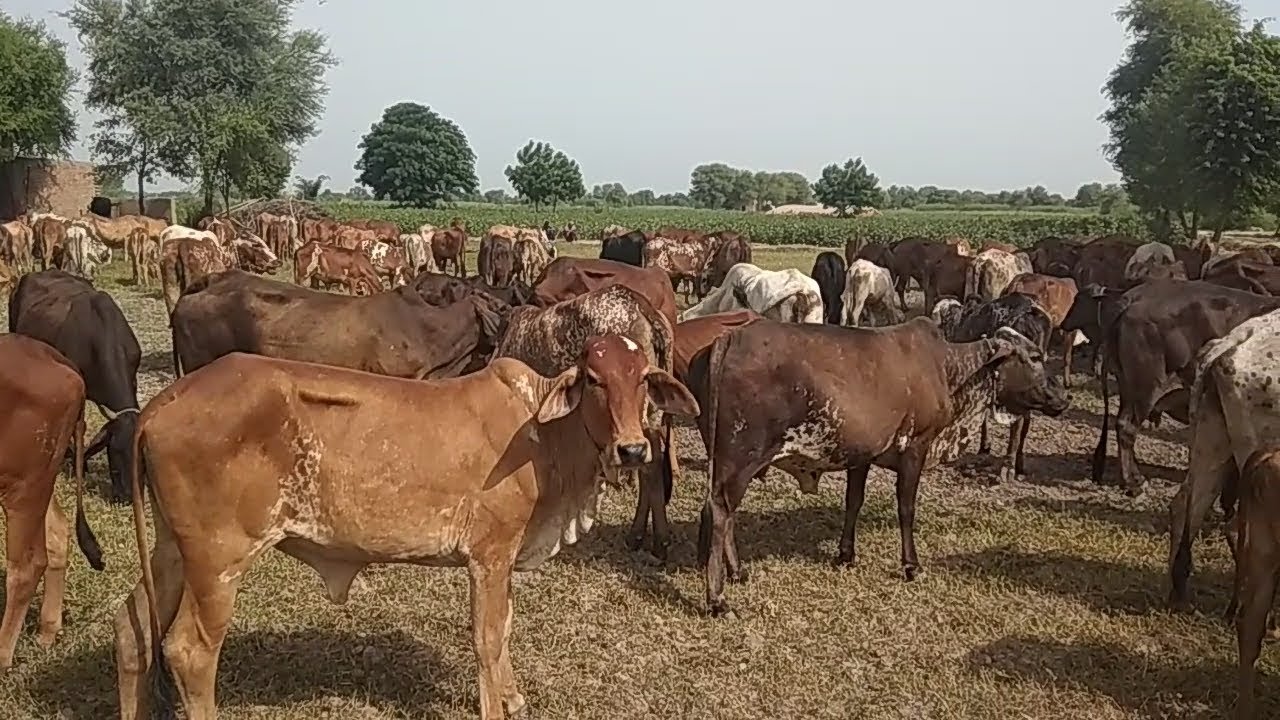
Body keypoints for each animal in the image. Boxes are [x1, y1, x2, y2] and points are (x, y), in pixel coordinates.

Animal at [112, 339, 698, 720]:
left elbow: (505, 627)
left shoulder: (504, 558)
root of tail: (164, 401)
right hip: (219, 559)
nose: (633, 449)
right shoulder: (489, 555)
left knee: (132, 627)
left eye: (644, 379)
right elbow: (487, 636)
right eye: (595, 380)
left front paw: (513, 697)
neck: (541, 431)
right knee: (190, 651)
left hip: (173, 549)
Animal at [687, 317, 1068, 616]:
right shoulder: (916, 447)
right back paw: (717, 599)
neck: (948, 367)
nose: (1062, 397)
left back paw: (738, 573)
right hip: (740, 458)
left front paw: (846, 554)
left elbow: (853, 502)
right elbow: (906, 508)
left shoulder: (862, 454)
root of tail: (729, 338)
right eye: (1035, 357)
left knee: (722, 512)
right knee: (721, 511)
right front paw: (912, 566)